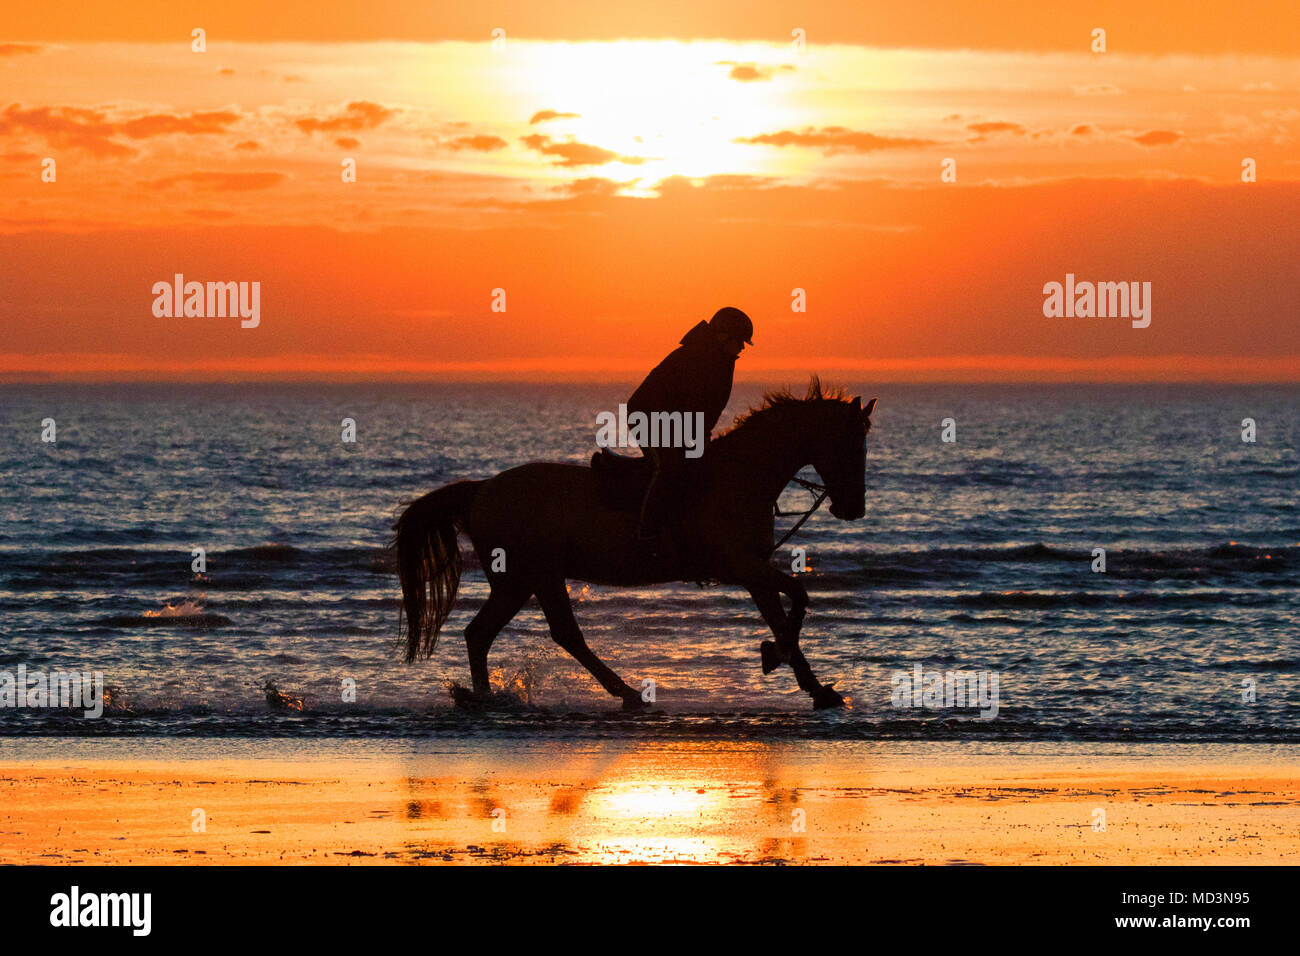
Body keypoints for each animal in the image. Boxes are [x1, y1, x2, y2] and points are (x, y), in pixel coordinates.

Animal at [393, 378, 877, 710]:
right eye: (850, 443)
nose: (853, 508)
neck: (742, 476)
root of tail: (481, 490)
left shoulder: (753, 570)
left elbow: (784, 615)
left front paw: (815, 688)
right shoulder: (739, 565)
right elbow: (798, 596)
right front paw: (775, 657)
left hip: (524, 580)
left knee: (497, 633)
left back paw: (491, 697)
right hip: (530, 576)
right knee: (544, 633)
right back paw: (616, 693)